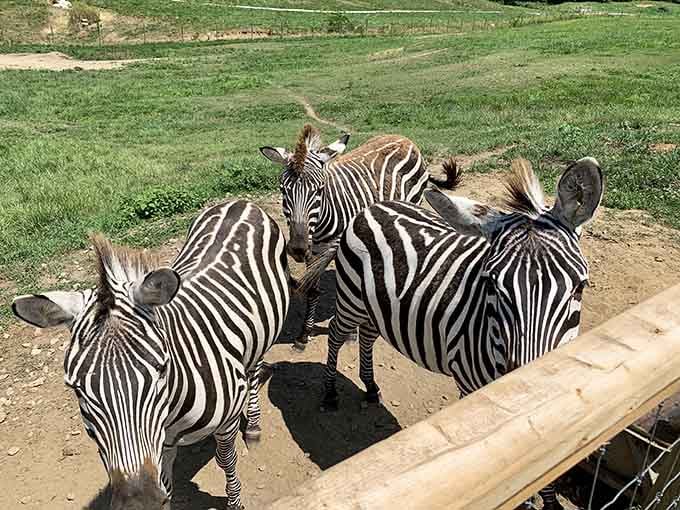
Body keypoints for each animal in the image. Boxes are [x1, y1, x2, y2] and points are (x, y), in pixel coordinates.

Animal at [12, 200, 290, 510]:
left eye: (161, 369)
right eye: (77, 389)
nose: (138, 503)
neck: (171, 413)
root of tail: (240, 203)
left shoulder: (226, 421)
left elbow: (226, 460)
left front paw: (235, 501)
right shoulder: (160, 446)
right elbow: (166, 485)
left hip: (265, 331)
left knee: (254, 370)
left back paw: (253, 426)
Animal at [260, 123, 456, 350]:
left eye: (320, 189)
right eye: (283, 190)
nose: (298, 248)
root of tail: (405, 139)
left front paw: (351, 334)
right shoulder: (314, 250)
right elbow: (312, 290)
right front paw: (304, 334)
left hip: (413, 200)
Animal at [298, 158, 603, 510]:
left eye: (579, 288)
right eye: (492, 286)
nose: (528, 396)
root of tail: (369, 208)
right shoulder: (470, 387)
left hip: (377, 304)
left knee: (368, 336)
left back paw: (371, 387)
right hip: (351, 297)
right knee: (336, 334)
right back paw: (330, 392)